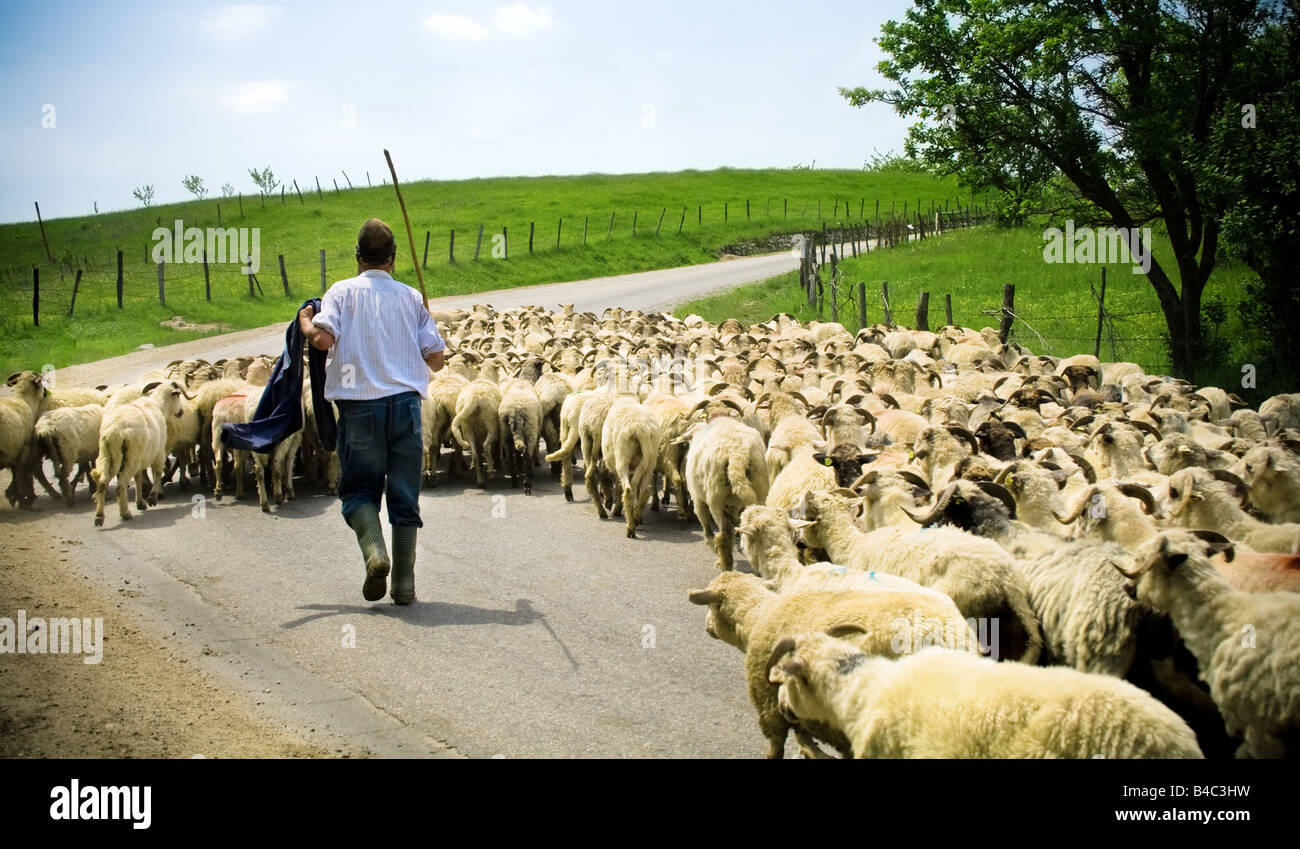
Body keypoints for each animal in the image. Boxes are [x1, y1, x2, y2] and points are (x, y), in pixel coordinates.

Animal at [91, 381, 188, 527]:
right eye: (177, 396)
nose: (181, 412)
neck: (158, 406)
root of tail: (114, 431)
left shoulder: (142, 458)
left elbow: (139, 478)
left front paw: (140, 502)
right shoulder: (158, 452)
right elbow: (156, 473)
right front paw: (153, 497)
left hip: (107, 455)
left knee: (102, 482)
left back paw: (99, 516)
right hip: (131, 456)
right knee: (121, 484)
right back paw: (125, 513)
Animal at [679, 416, 769, 570]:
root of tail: (737, 453)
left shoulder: (697, 498)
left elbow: (705, 523)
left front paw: (710, 543)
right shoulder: (734, 504)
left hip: (715, 497)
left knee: (724, 535)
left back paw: (725, 565)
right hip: (760, 486)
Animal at [687, 571, 976, 758]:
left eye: (711, 607)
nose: (706, 626)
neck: (756, 616)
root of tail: (946, 636)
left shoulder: (769, 707)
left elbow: (776, 749)